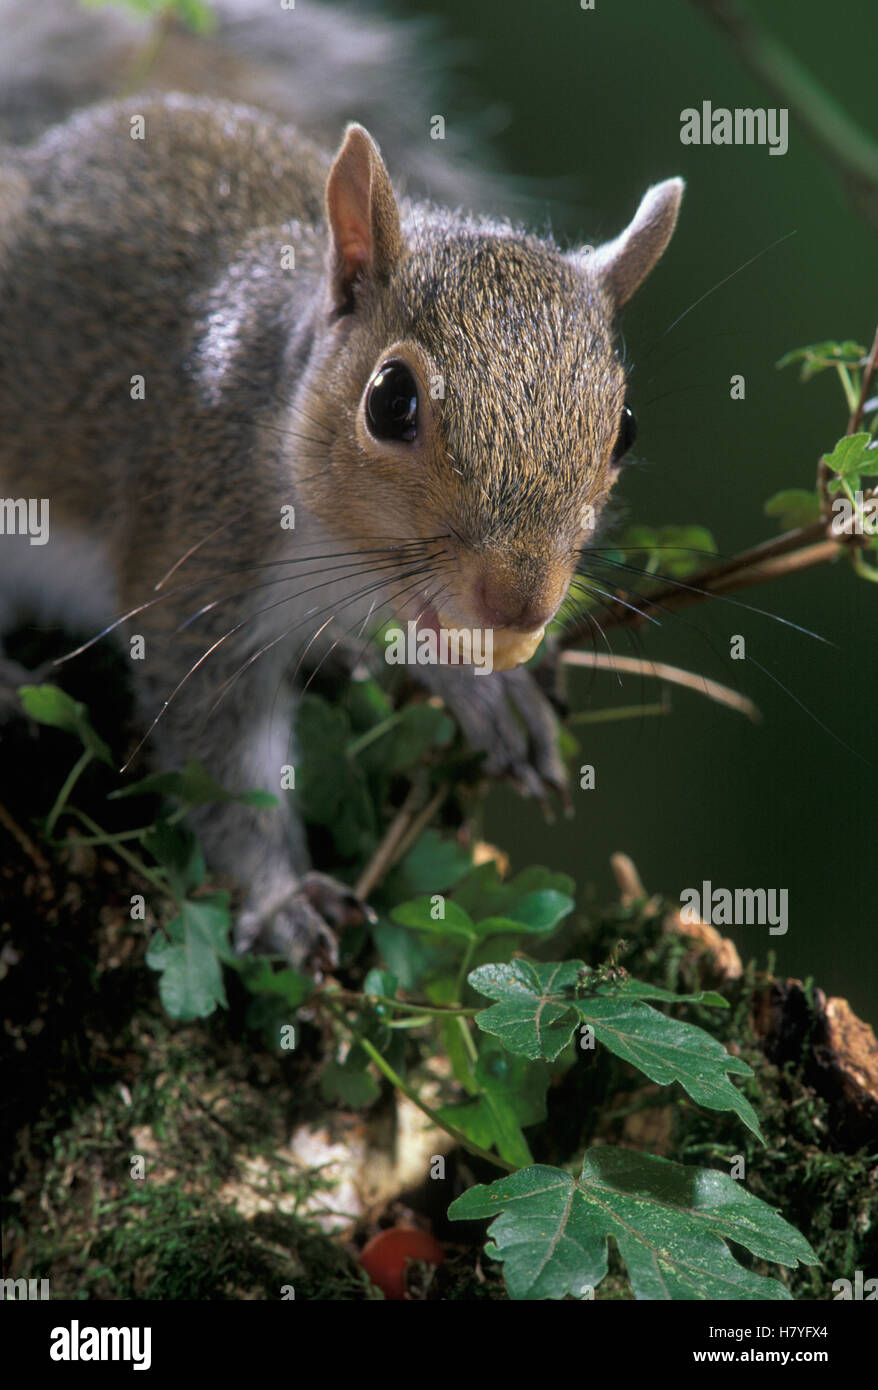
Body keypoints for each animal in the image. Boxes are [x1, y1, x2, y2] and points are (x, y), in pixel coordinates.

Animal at [0, 5, 683, 969]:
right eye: (391, 401)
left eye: (625, 426)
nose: (521, 603)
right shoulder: (196, 573)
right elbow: (224, 765)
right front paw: (281, 898)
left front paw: (494, 697)